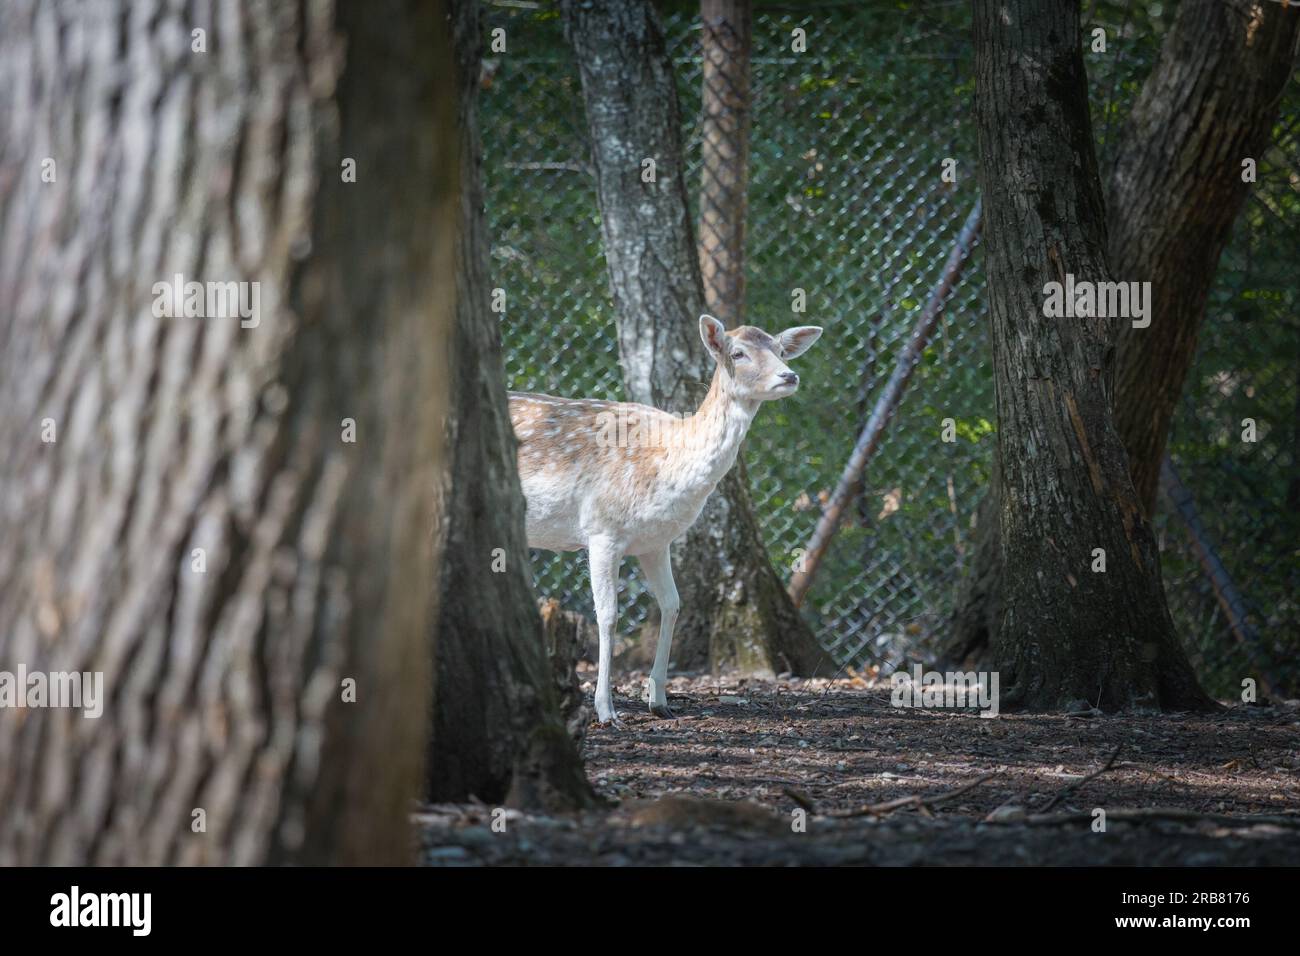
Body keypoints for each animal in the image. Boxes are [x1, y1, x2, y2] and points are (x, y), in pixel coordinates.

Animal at [509, 315, 822, 725]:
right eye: (738, 352)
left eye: (781, 350)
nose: (789, 375)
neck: (667, 461)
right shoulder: (602, 528)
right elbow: (607, 615)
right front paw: (606, 710)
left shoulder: (656, 542)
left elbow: (672, 605)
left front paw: (659, 700)